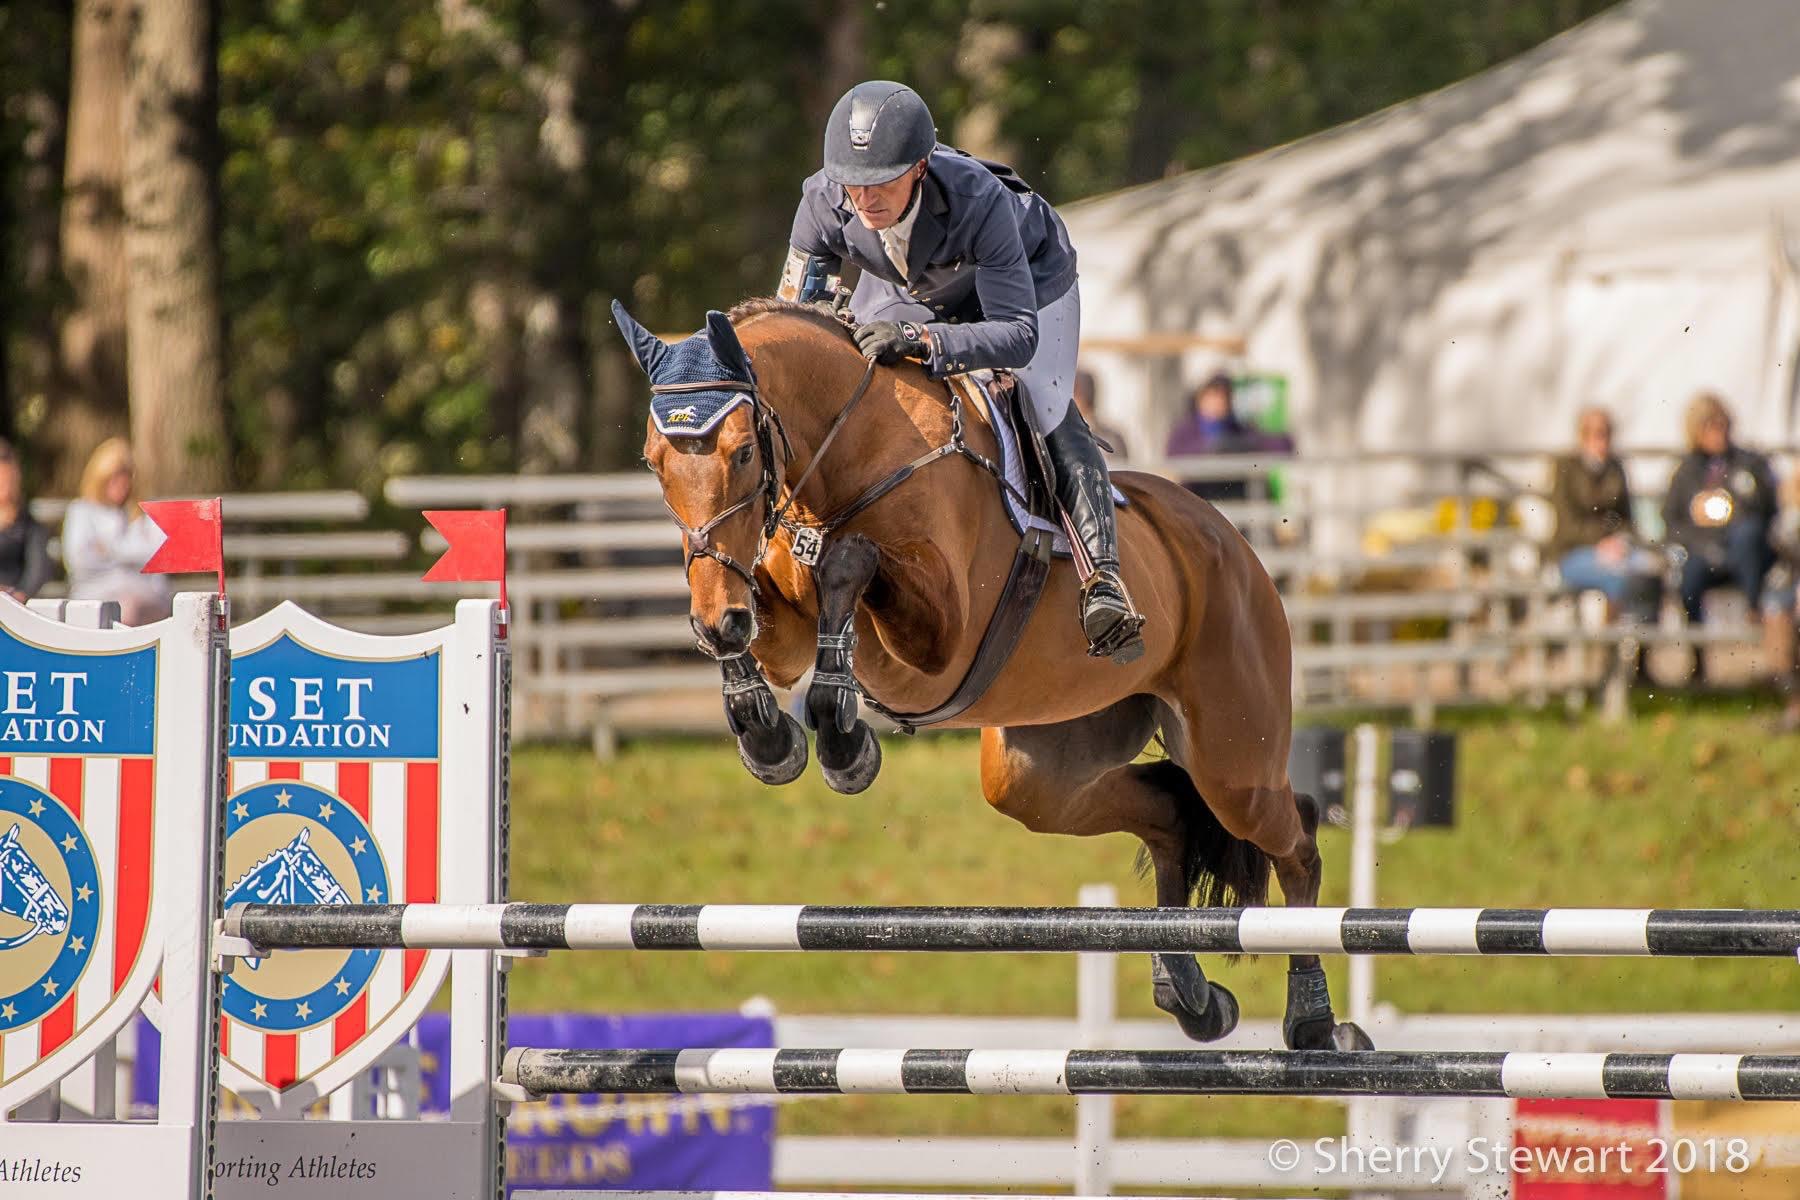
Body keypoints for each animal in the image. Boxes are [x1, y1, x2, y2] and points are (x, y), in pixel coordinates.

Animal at [613, 297, 1371, 1052]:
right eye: (654, 461)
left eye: (743, 451)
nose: (717, 621)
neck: (852, 450)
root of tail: (1231, 540)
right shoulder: (780, 625)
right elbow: (773, 617)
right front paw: (768, 733)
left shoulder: (941, 633)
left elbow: (847, 563)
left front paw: (841, 739)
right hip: (1041, 770)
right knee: (1169, 817)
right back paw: (1191, 994)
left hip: (1234, 760)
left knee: (1297, 845)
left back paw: (1314, 1021)